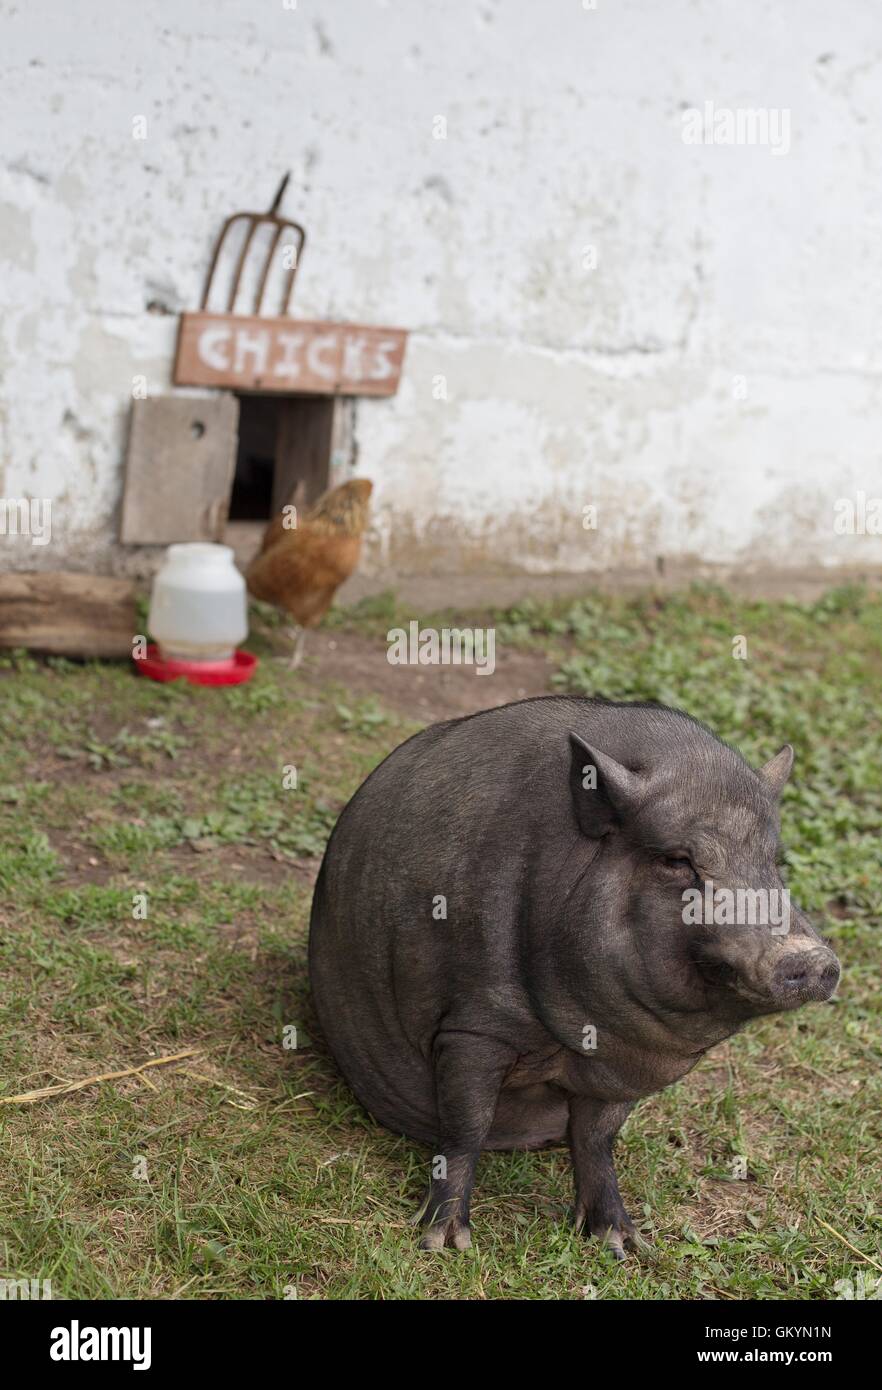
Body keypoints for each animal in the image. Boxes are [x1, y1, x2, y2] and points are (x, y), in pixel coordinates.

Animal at [308, 697, 840, 1256]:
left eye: (773, 863)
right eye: (678, 860)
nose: (813, 957)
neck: (573, 1034)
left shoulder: (619, 1059)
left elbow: (596, 1138)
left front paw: (625, 1246)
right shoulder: (472, 1024)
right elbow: (465, 1126)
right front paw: (445, 1243)